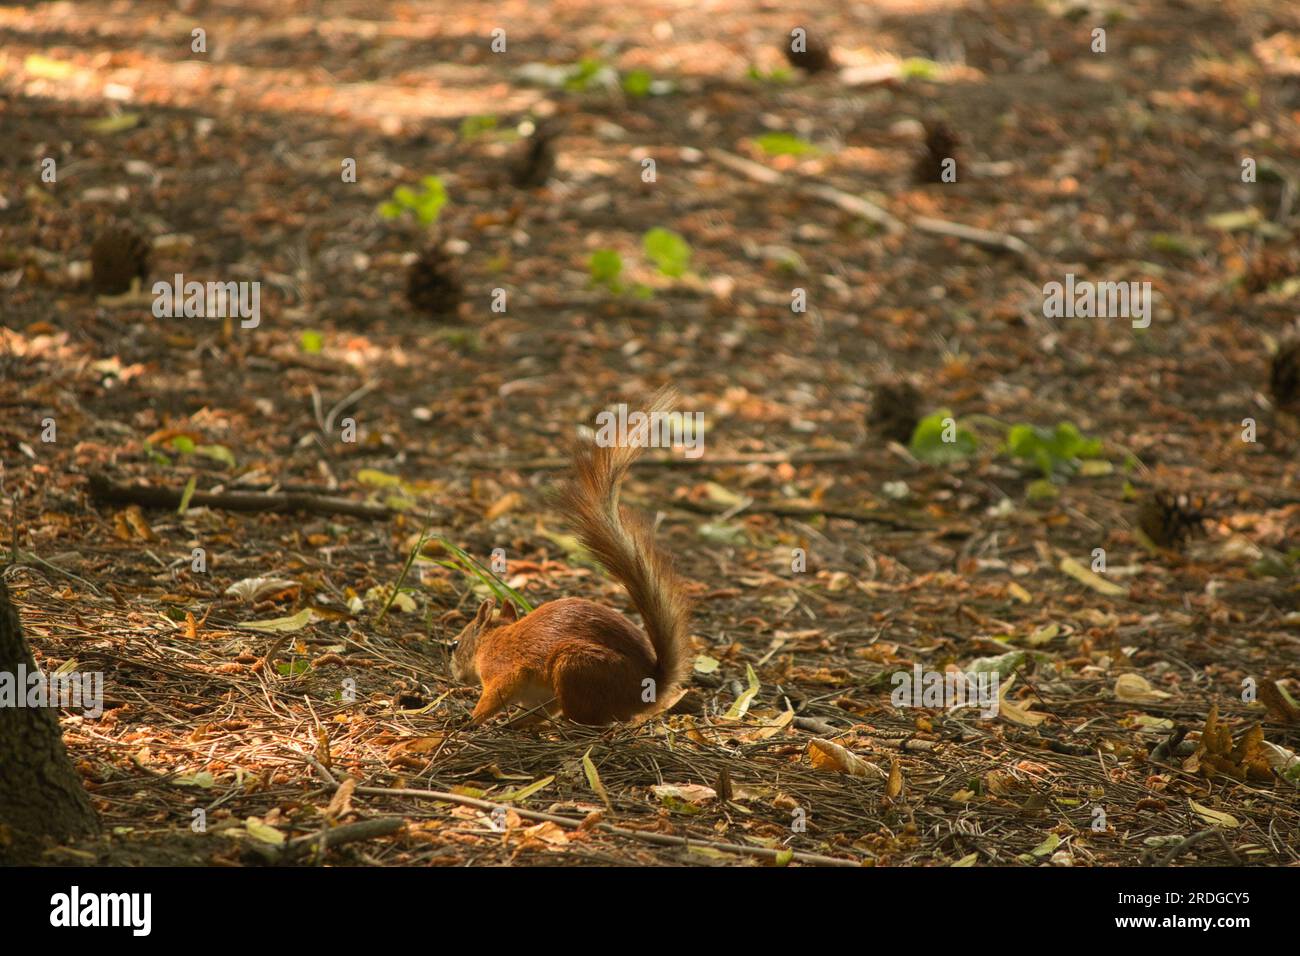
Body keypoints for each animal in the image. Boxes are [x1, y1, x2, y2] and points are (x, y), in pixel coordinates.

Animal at [449, 390, 692, 726]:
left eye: (454, 644)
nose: (454, 674)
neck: (491, 640)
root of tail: (646, 690)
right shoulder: (539, 695)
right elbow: (536, 711)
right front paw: (517, 724)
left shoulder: (504, 669)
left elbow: (496, 695)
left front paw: (472, 720)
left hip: (574, 666)